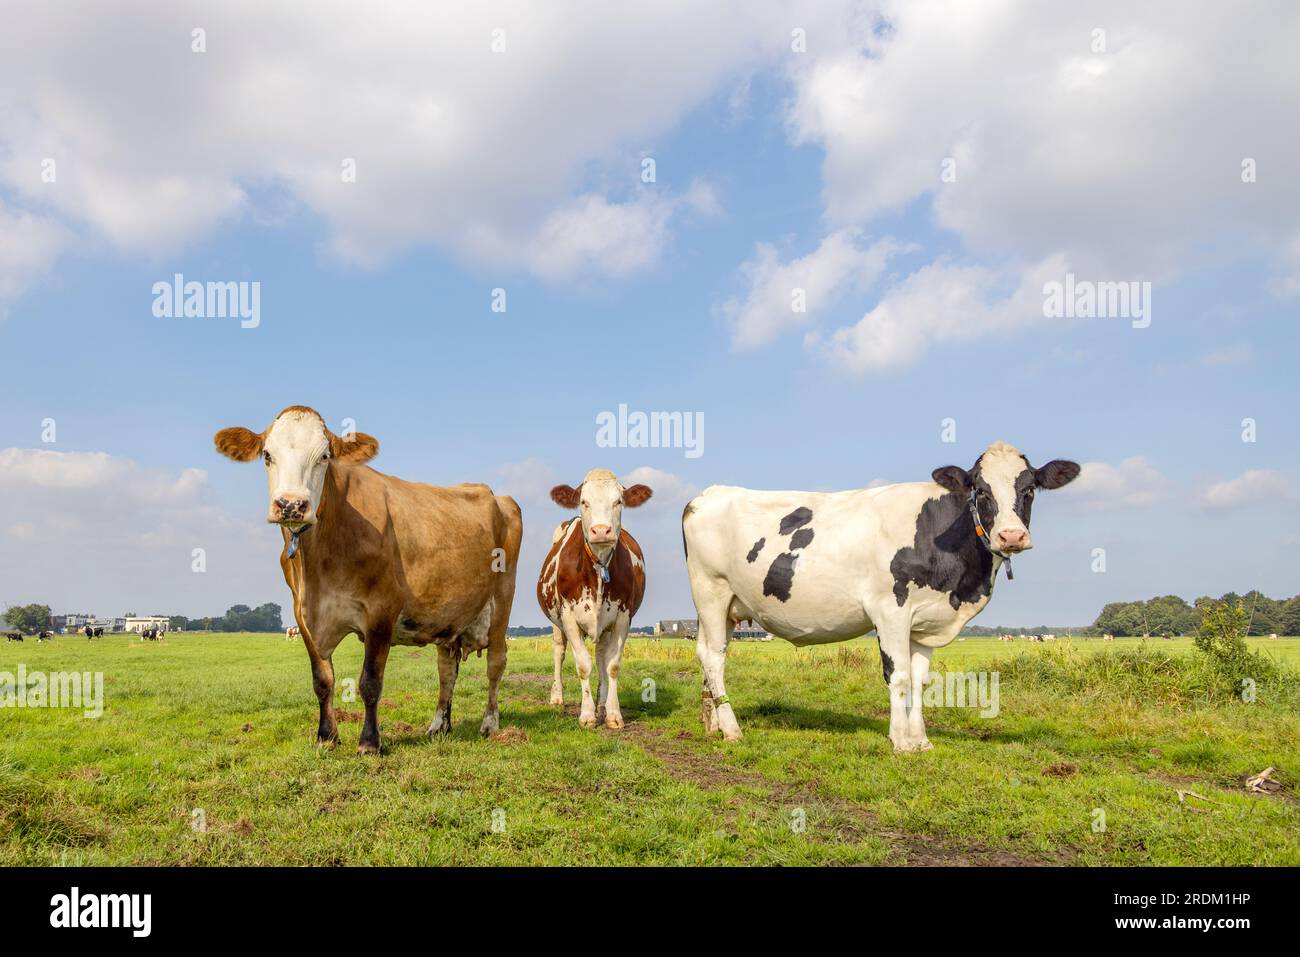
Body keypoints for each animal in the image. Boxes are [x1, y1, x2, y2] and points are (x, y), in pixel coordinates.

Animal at [215, 405, 523, 754]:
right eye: (267, 455)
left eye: (324, 456)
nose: (291, 505)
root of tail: (496, 495)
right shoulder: (303, 615)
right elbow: (322, 680)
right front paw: (326, 737)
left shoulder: (381, 610)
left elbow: (370, 682)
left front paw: (369, 742)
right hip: (449, 614)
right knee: (447, 669)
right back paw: (438, 725)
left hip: (501, 601)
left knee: (496, 663)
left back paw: (489, 724)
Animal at [536, 469, 651, 729]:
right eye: (583, 501)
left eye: (619, 501)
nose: (600, 530)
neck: (599, 566)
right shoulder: (568, 616)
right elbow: (583, 665)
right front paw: (587, 715)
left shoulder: (622, 617)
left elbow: (611, 665)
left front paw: (612, 713)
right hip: (556, 623)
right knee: (559, 651)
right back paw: (557, 697)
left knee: (600, 655)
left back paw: (601, 701)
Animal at [680, 441, 1079, 750]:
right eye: (980, 490)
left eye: (1029, 490)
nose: (1011, 536)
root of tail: (707, 495)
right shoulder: (891, 610)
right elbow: (898, 675)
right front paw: (900, 741)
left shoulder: (925, 622)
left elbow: (920, 680)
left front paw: (921, 740)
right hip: (711, 590)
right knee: (714, 658)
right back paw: (732, 729)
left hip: (725, 605)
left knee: (707, 653)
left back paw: (712, 724)